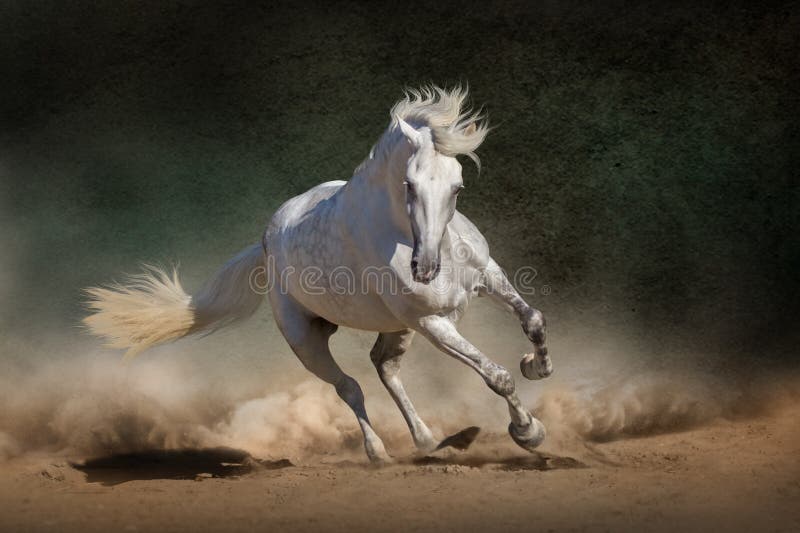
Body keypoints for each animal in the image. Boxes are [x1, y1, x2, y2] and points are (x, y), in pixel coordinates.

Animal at [84, 85, 553, 463]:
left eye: (457, 187)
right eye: (409, 184)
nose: (425, 269)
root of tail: (267, 242)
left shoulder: (487, 276)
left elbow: (532, 320)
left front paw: (537, 366)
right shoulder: (431, 322)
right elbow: (496, 375)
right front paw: (528, 432)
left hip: (394, 326)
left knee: (384, 366)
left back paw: (430, 441)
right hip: (307, 340)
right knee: (350, 387)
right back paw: (381, 453)